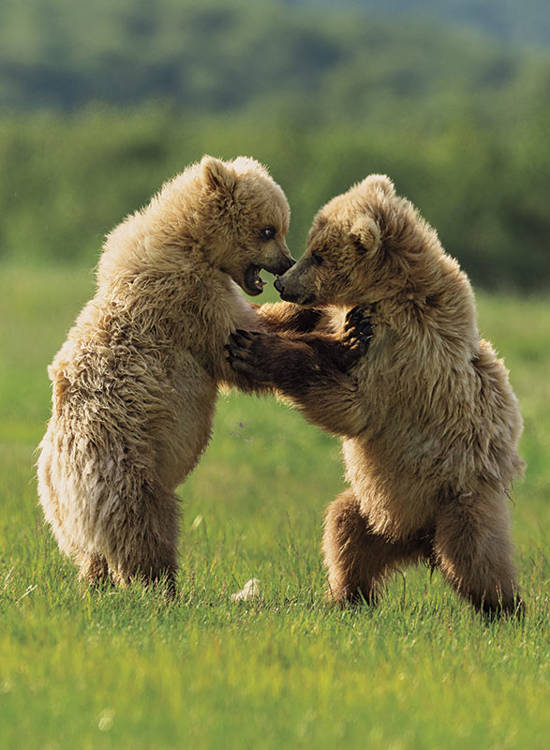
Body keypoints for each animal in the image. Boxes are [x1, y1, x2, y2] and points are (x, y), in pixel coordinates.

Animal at [231, 175, 528, 616]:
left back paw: (506, 606)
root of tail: (419, 545)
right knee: (344, 531)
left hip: (459, 498)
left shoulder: (404, 354)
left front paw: (259, 350)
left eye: (318, 255)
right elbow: (313, 324)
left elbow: (352, 407)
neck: (385, 293)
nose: (283, 283)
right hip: (375, 508)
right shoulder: (350, 316)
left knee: (475, 555)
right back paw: (345, 596)